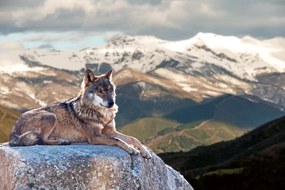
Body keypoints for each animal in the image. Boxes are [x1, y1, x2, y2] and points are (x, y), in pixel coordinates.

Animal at [9, 69, 151, 158]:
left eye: (110, 90)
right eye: (99, 91)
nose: (111, 103)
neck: (101, 115)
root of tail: (13, 132)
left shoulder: (110, 131)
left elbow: (133, 138)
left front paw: (144, 152)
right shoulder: (95, 137)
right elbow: (118, 140)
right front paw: (132, 149)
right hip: (51, 116)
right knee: (40, 140)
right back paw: (62, 142)